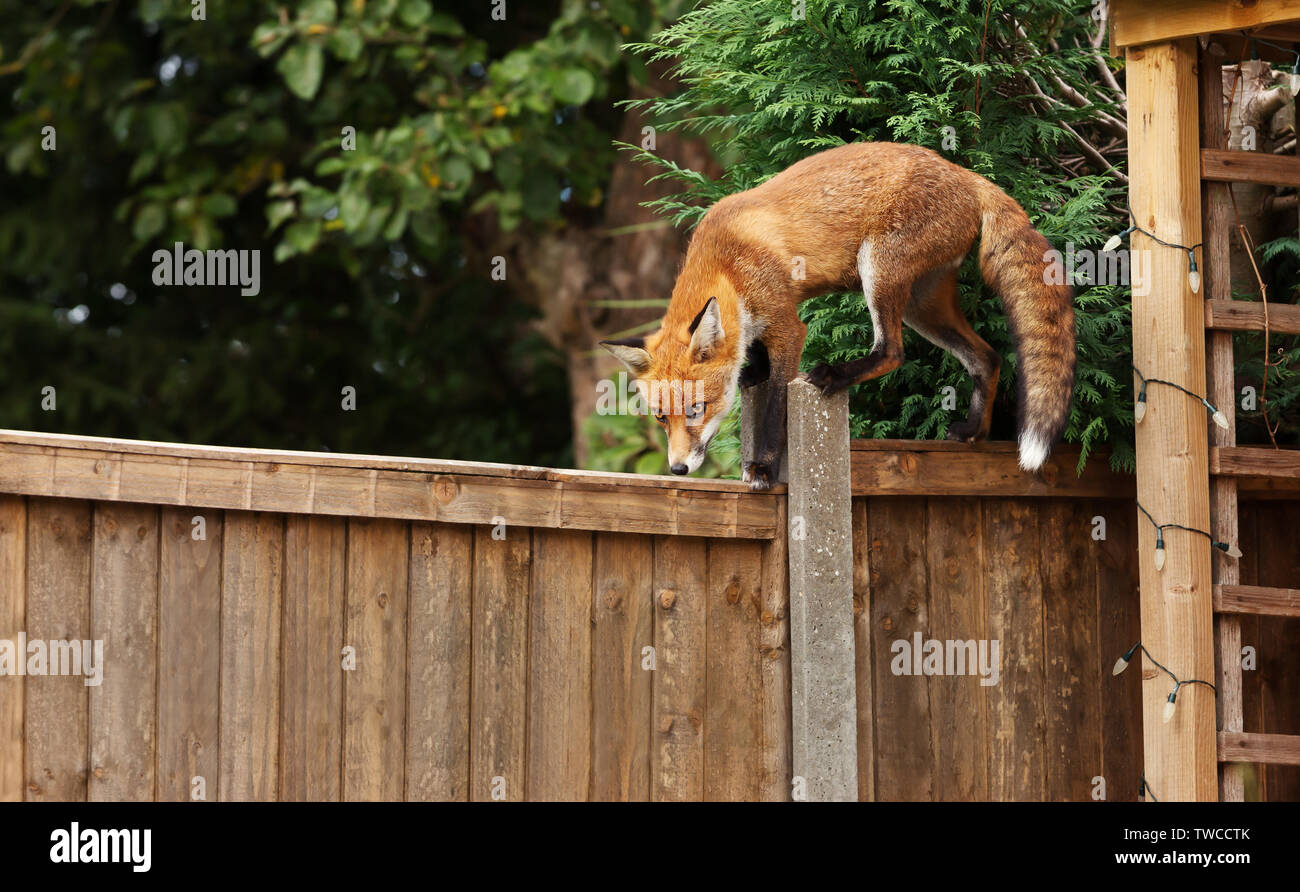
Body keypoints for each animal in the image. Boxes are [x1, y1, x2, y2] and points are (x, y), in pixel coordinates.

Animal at [601, 141, 1075, 490]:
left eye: (697, 408)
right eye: (660, 418)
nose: (678, 468)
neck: (727, 265)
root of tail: (965, 173)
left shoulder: (789, 325)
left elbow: (775, 407)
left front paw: (764, 468)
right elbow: (755, 365)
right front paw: (752, 371)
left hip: (879, 271)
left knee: (893, 351)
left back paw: (835, 375)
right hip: (924, 306)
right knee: (986, 357)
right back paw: (975, 430)